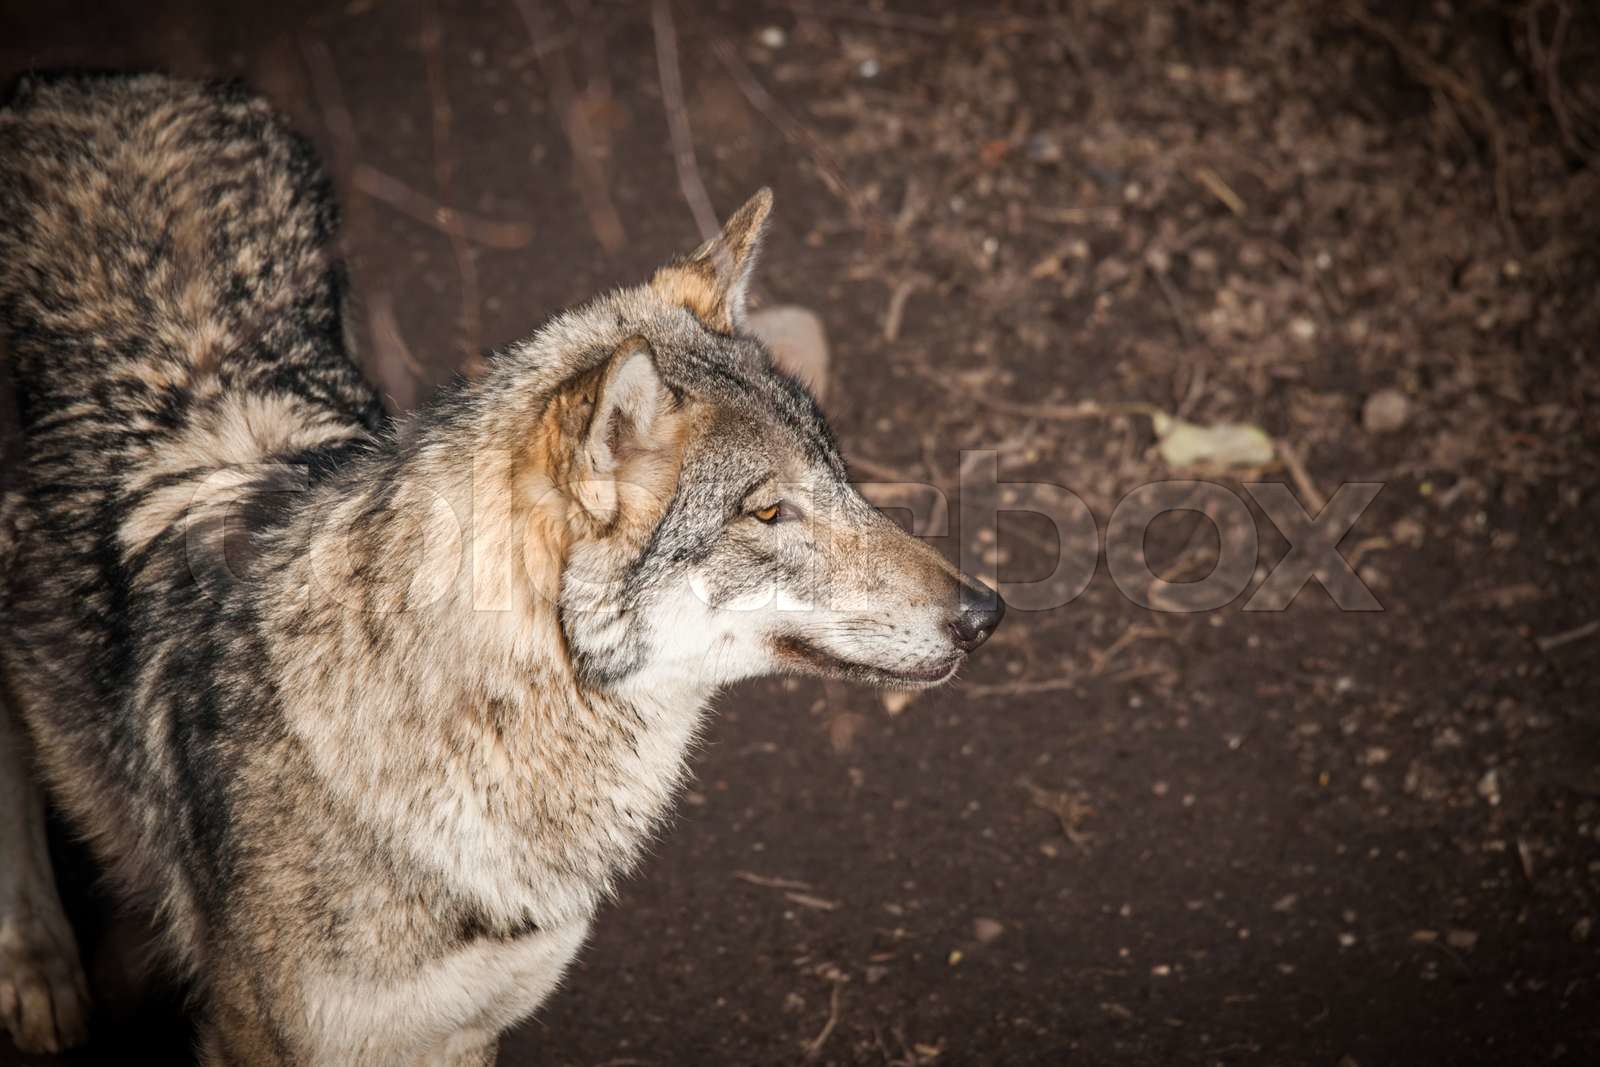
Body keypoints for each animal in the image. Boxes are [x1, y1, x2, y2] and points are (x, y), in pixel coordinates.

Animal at [0, 74, 1004, 1064]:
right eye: (767, 511)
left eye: (836, 472)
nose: (985, 612)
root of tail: (92, 85)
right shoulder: (273, 1037)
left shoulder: (469, 1026)